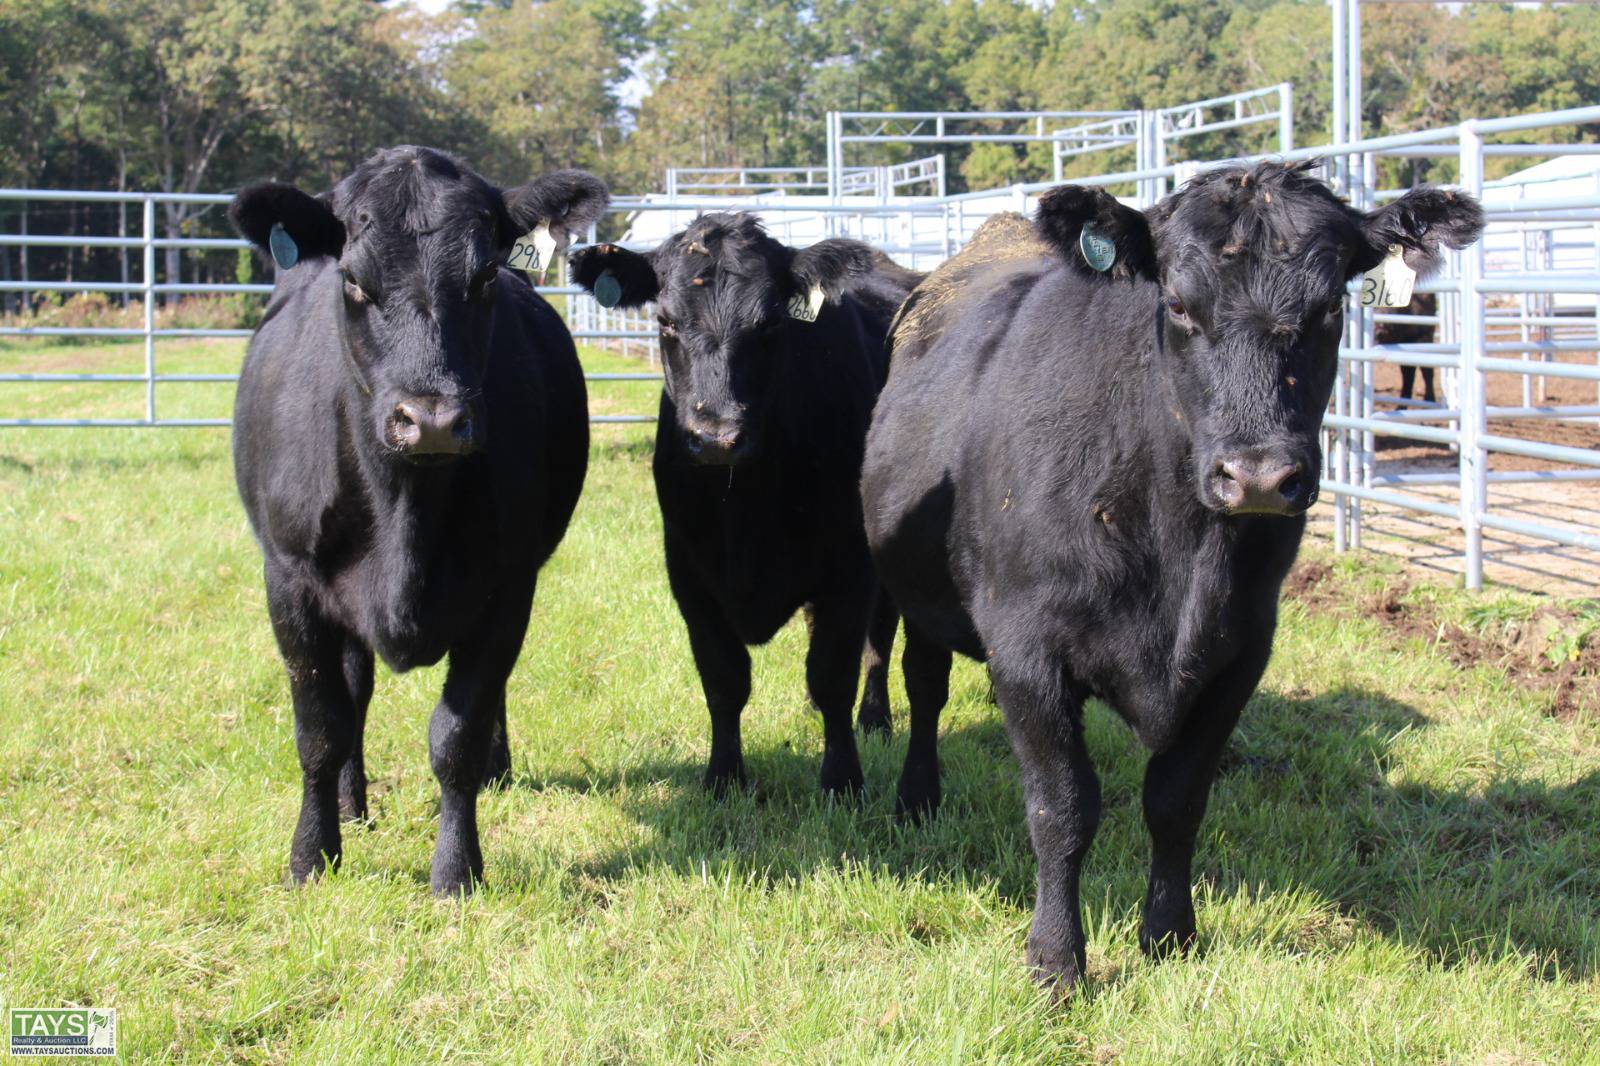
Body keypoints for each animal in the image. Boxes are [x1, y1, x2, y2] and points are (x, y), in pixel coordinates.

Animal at [229, 146, 607, 896]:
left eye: (485, 275)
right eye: (352, 279)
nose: (430, 419)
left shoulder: (508, 584)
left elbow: (457, 734)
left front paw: (457, 871)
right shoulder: (289, 579)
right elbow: (319, 729)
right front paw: (311, 857)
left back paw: (497, 770)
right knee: (355, 691)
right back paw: (353, 802)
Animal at [569, 214, 920, 796]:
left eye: (771, 323)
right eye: (665, 321)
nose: (717, 436)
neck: (745, 508)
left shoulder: (850, 565)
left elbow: (833, 672)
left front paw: (842, 780)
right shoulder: (689, 570)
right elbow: (724, 679)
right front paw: (723, 777)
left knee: (878, 638)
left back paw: (875, 718)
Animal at [860, 161, 1482, 987]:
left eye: (1329, 309)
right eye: (1180, 305)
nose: (1258, 476)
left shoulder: (1240, 651)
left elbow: (1176, 800)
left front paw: (1170, 935)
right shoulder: (1026, 648)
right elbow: (1062, 808)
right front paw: (1056, 962)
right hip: (919, 589)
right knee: (924, 687)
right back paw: (917, 796)